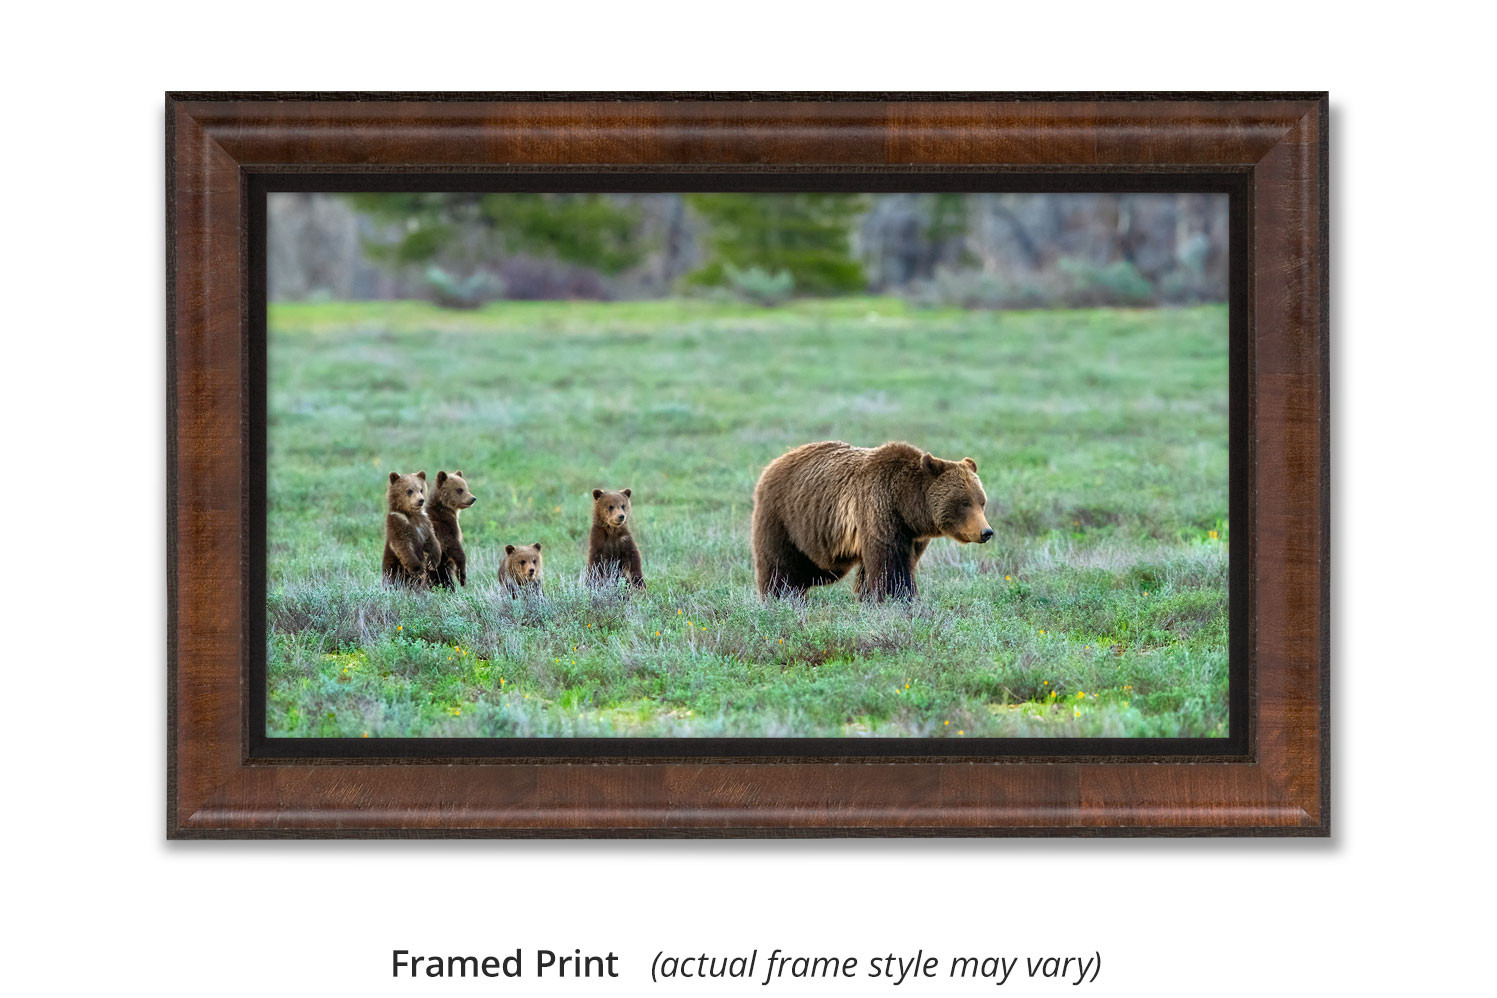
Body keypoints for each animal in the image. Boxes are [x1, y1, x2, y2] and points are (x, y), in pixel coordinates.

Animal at [750, 441, 992, 600]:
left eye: (981, 501)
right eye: (964, 503)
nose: (986, 532)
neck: (907, 506)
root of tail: (775, 462)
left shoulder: (912, 535)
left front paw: (869, 597)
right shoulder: (880, 511)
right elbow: (891, 568)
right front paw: (900, 599)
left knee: (816, 570)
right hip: (783, 517)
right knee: (781, 564)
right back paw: (782, 596)